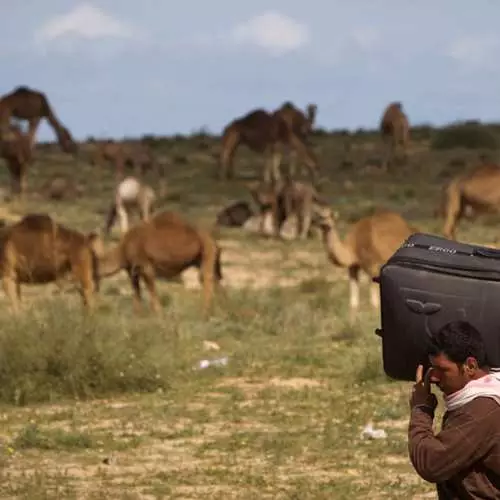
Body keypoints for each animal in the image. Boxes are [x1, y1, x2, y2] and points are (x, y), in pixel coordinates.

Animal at [95, 212, 223, 316]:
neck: (122, 250)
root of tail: (213, 240)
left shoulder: (145, 265)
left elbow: (151, 289)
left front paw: (158, 314)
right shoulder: (131, 270)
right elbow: (136, 291)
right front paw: (138, 315)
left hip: (207, 251)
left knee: (207, 279)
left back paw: (204, 312)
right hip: (200, 259)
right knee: (214, 279)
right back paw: (220, 308)